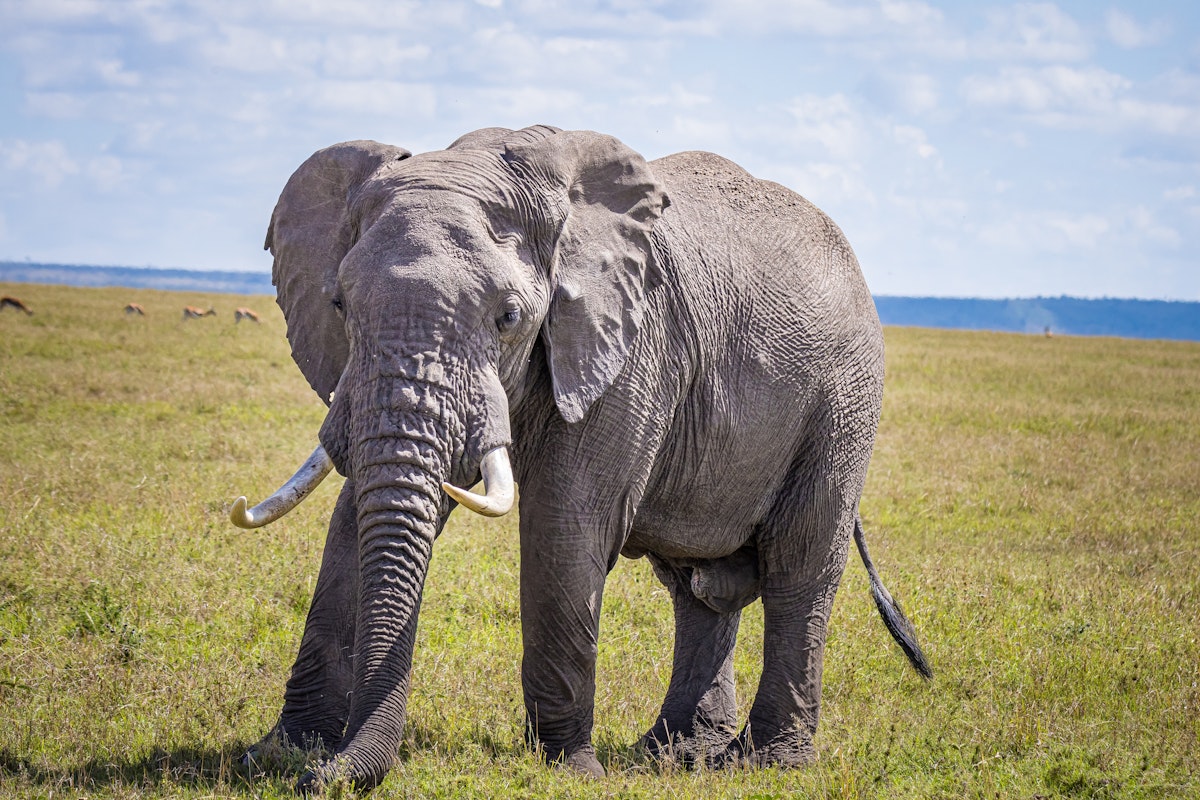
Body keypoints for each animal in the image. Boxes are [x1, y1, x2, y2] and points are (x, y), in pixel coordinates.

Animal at [229, 124, 931, 792]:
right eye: (339, 305)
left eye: (508, 317)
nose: (323, 780)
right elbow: (354, 519)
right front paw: (280, 754)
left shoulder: (632, 346)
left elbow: (565, 526)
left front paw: (570, 769)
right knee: (700, 587)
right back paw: (677, 754)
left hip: (844, 404)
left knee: (799, 565)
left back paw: (766, 763)